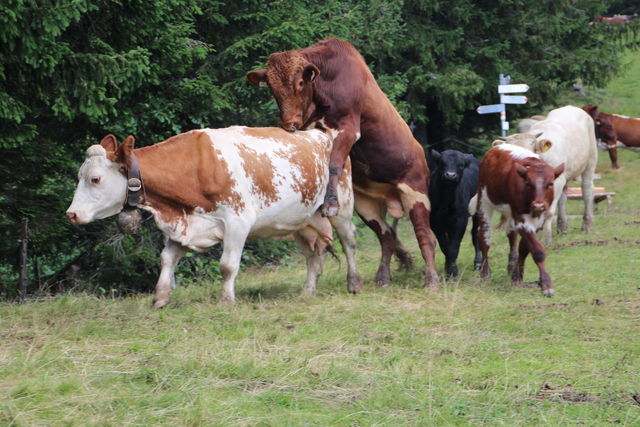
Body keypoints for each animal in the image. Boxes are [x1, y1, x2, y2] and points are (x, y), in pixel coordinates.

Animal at [66, 127, 361, 308]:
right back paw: (308, 291)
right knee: (313, 256)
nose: (71, 214)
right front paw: (160, 298)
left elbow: (227, 265)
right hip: (300, 221)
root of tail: (322, 134)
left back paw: (354, 283)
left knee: (349, 243)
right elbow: (166, 259)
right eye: (79, 176)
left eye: (95, 178)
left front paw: (226, 300)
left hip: (343, 206)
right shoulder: (184, 224)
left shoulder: (238, 221)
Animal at [247, 37, 438, 289]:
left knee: (425, 235)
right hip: (367, 205)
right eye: (271, 87)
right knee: (386, 235)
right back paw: (383, 277)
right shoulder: (310, 126)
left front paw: (329, 203)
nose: (288, 123)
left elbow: (334, 164)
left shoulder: (348, 128)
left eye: (300, 82)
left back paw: (432, 280)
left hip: (416, 194)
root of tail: (420, 155)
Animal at [428, 149, 481, 277]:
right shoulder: (435, 221)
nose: (450, 175)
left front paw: (452, 271)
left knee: (475, 233)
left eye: (460, 165)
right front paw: (448, 268)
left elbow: (453, 246)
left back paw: (478, 263)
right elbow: (445, 246)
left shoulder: (460, 219)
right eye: (441, 163)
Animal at [475, 144, 565, 296]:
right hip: (484, 201)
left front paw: (517, 278)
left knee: (511, 236)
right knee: (484, 237)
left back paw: (511, 267)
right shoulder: (521, 220)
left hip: (510, 213)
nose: (538, 205)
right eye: (528, 183)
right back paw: (485, 273)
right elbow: (537, 250)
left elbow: (525, 248)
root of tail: (496, 147)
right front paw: (546, 284)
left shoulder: (538, 221)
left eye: (550, 184)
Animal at [502, 105, 597, 243]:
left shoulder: (555, 182)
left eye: (529, 149)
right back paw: (562, 228)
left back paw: (586, 226)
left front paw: (546, 237)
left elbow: (548, 211)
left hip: (590, 163)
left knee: (587, 191)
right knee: (563, 199)